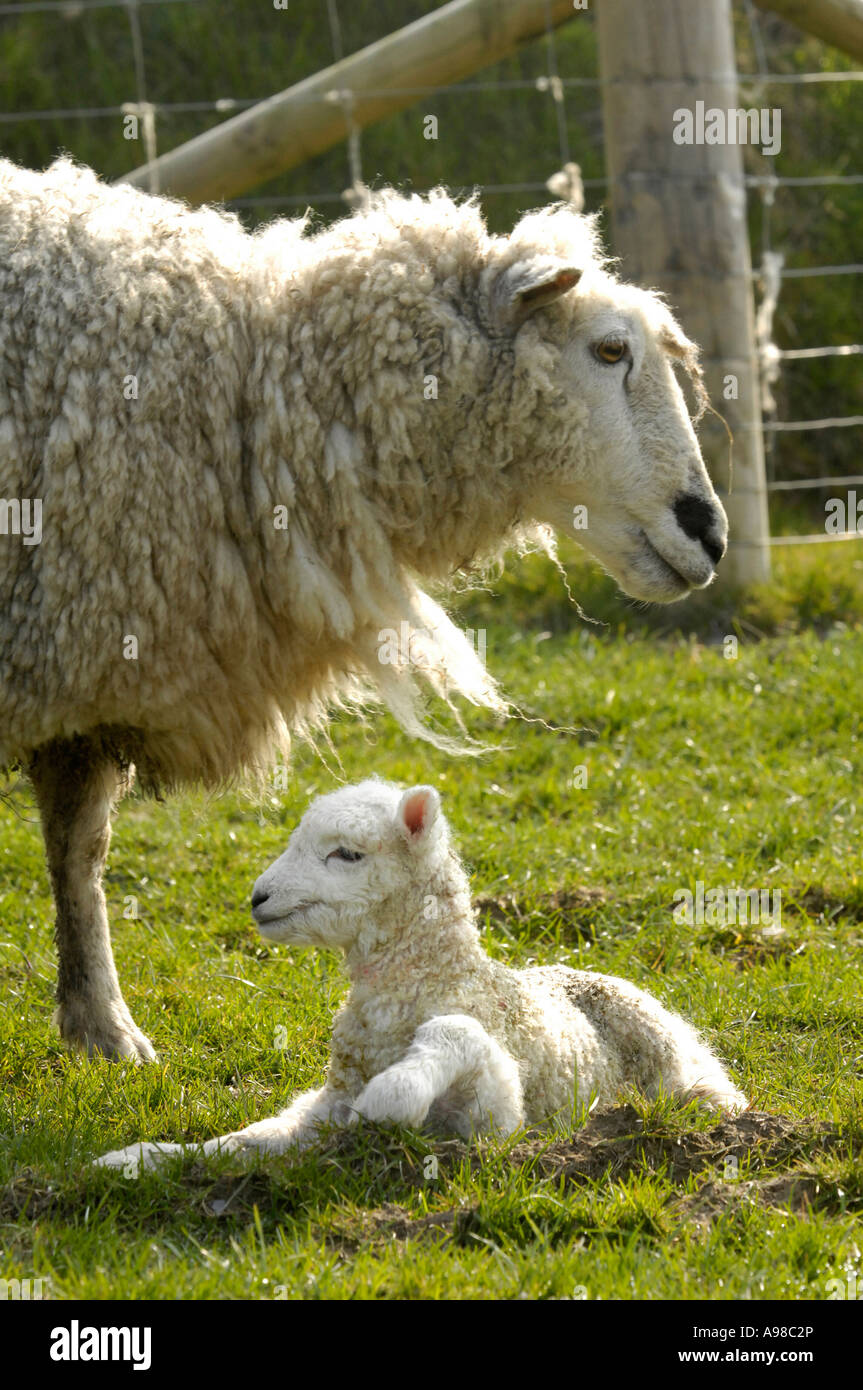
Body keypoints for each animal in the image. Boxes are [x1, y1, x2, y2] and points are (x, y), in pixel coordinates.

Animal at [0, 157, 728, 1061]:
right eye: (608, 349)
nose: (710, 533)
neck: (252, 392)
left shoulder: (81, 666)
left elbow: (79, 849)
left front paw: (100, 1026)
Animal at [95, 780, 746, 1172]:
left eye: (348, 854)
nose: (258, 898)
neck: (436, 979)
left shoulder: (493, 1125)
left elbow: (455, 1036)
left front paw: (394, 1095)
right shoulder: (323, 1111)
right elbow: (237, 1143)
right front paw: (135, 1159)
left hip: (683, 1075)